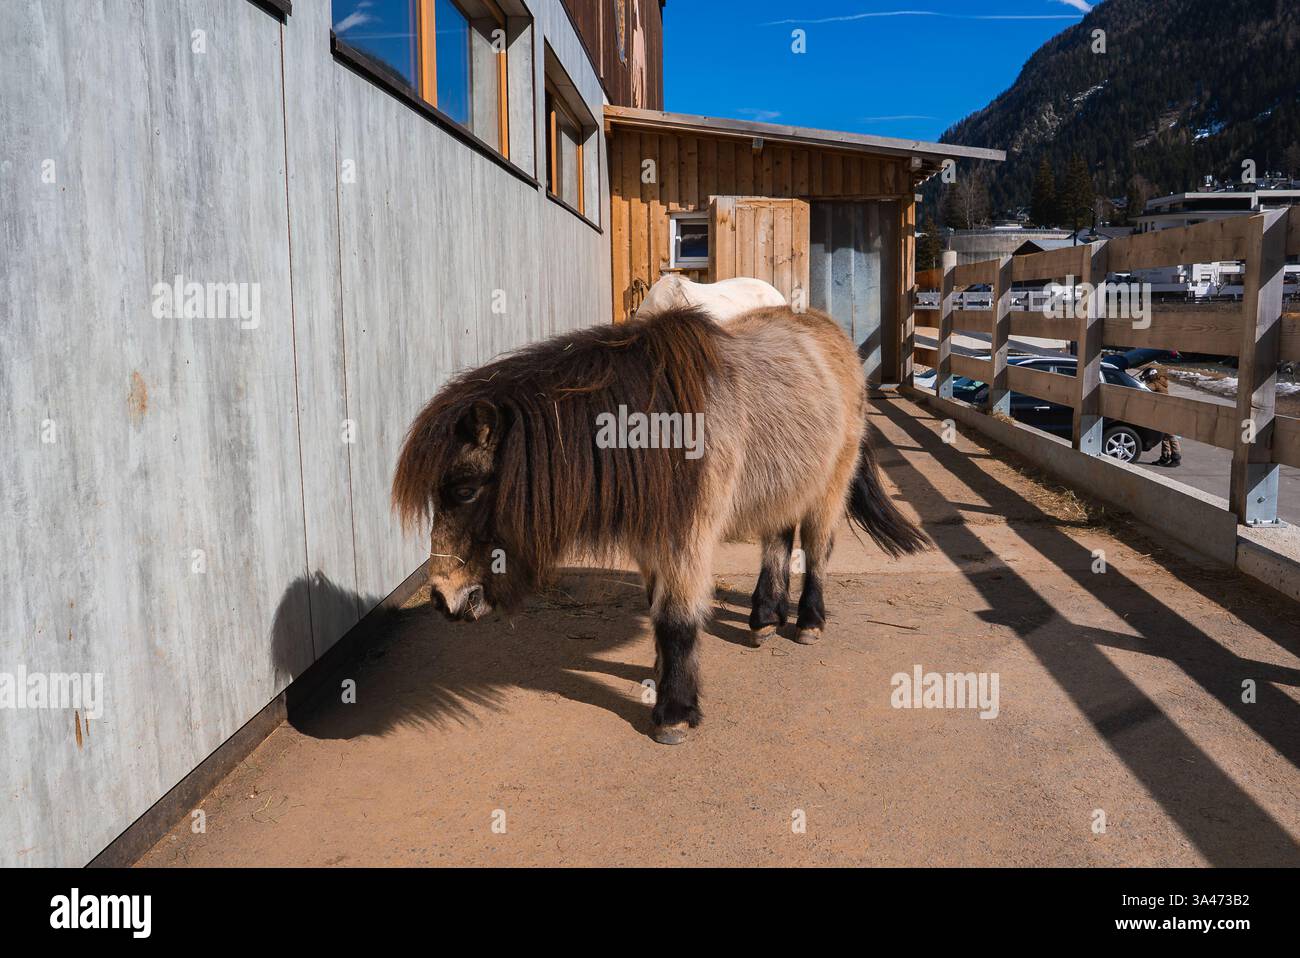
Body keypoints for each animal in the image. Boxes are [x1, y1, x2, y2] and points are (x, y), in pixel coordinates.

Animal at [392, 305, 929, 744]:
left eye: (465, 490)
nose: (443, 598)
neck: (656, 429)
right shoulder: (651, 538)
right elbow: (656, 609)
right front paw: (659, 676)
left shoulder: (684, 539)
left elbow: (675, 619)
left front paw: (675, 712)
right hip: (780, 486)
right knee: (777, 539)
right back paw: (764, 618)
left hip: (829, 484)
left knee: (816, 550)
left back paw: (808, 622)